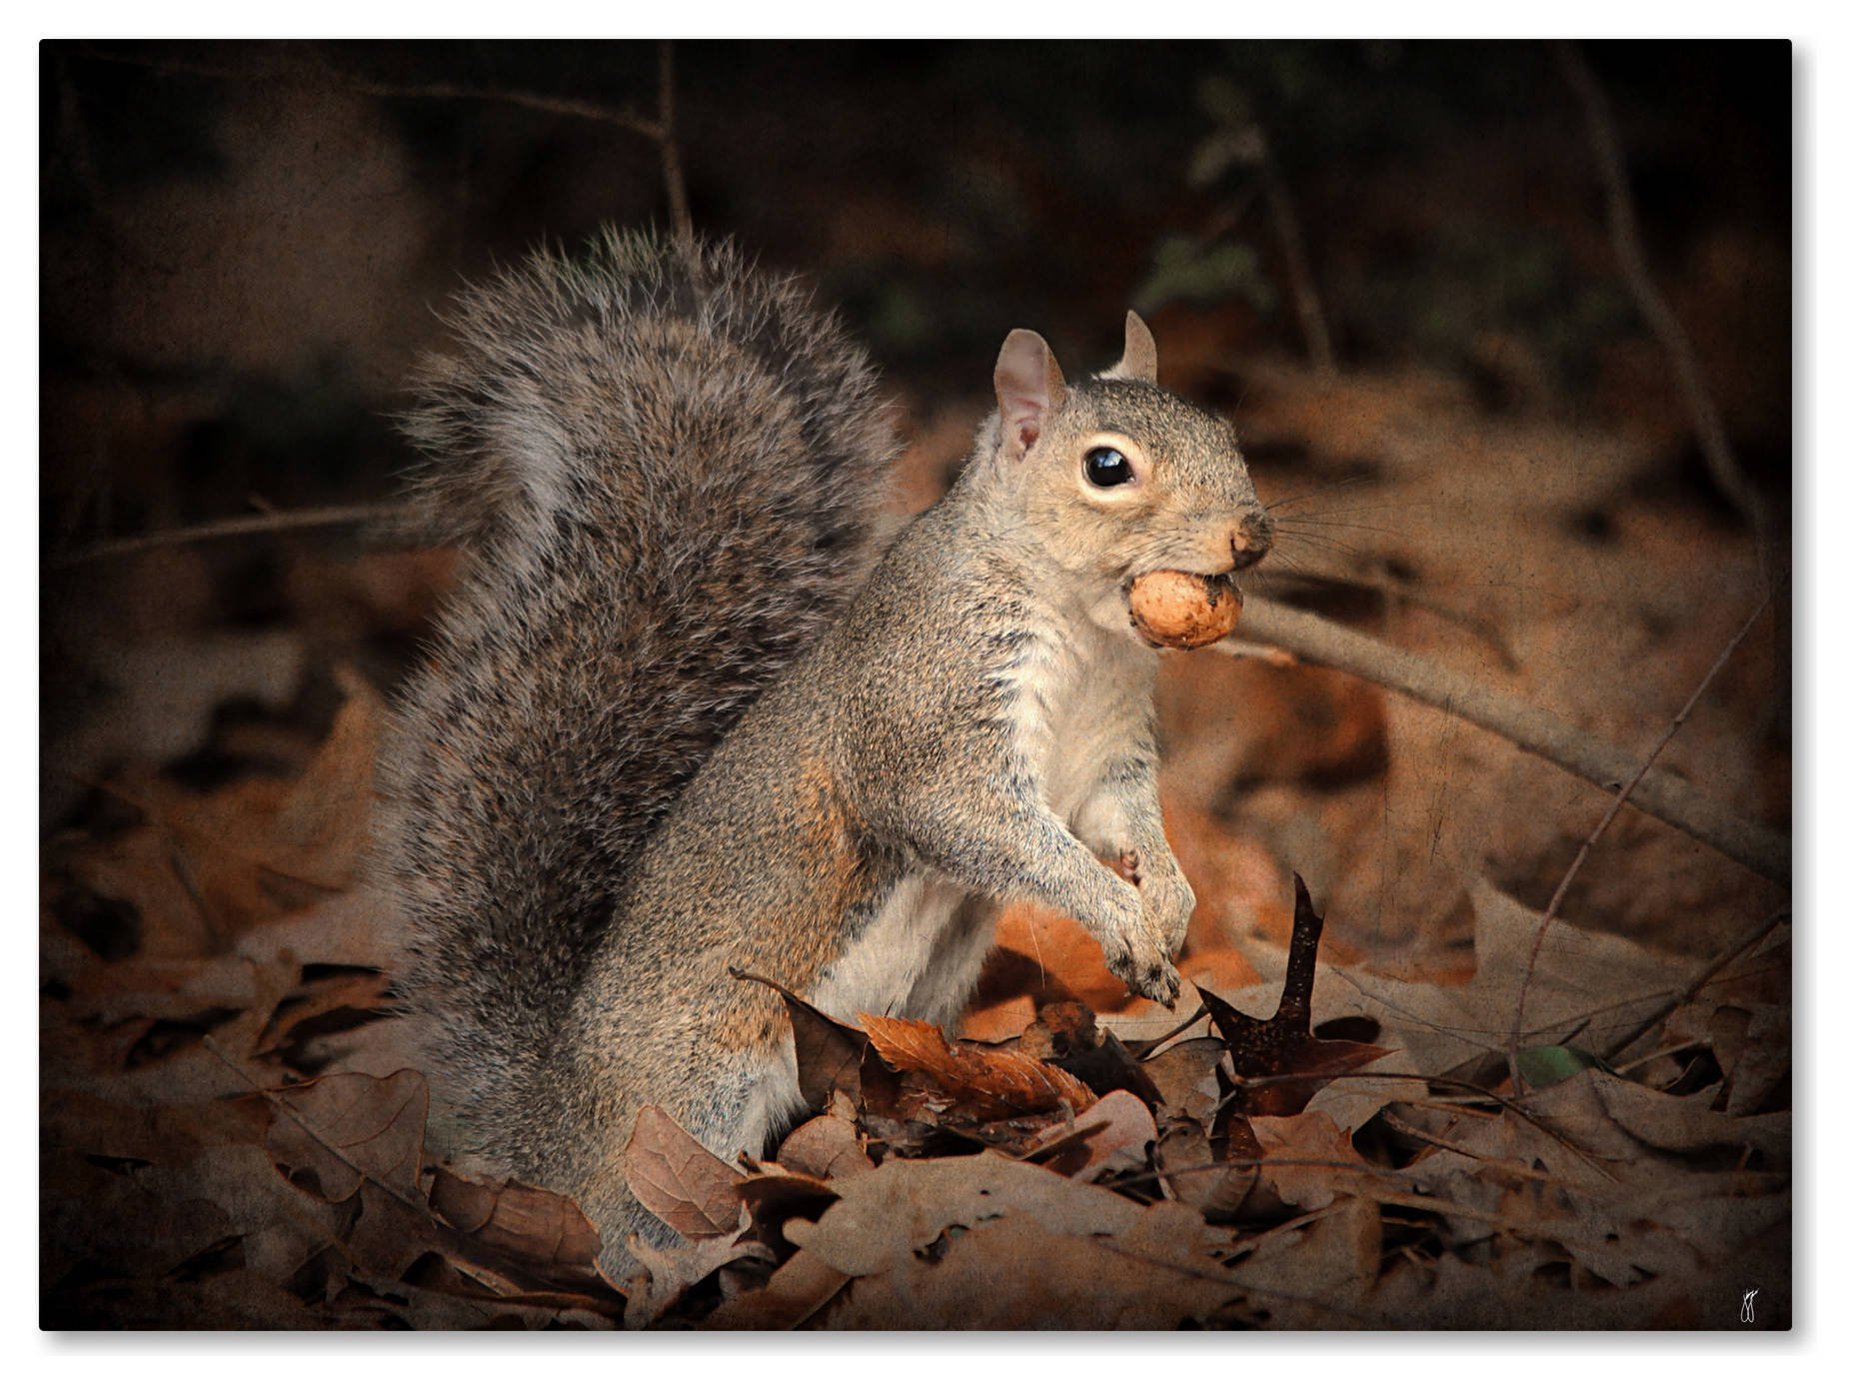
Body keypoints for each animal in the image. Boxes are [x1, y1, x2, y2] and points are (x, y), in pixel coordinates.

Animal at [374, 229, 1272, 1274]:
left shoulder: (1106, 754)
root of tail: (541, 1124)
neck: (1085, 627)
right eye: (1106, 467)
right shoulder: (926, 715)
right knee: (628, 1216)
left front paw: (1167, 898)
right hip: (690, 1093)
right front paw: (1115, 911)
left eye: (1224, 432)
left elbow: (1122, 822)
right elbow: (985, 827)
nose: (1249, 534)